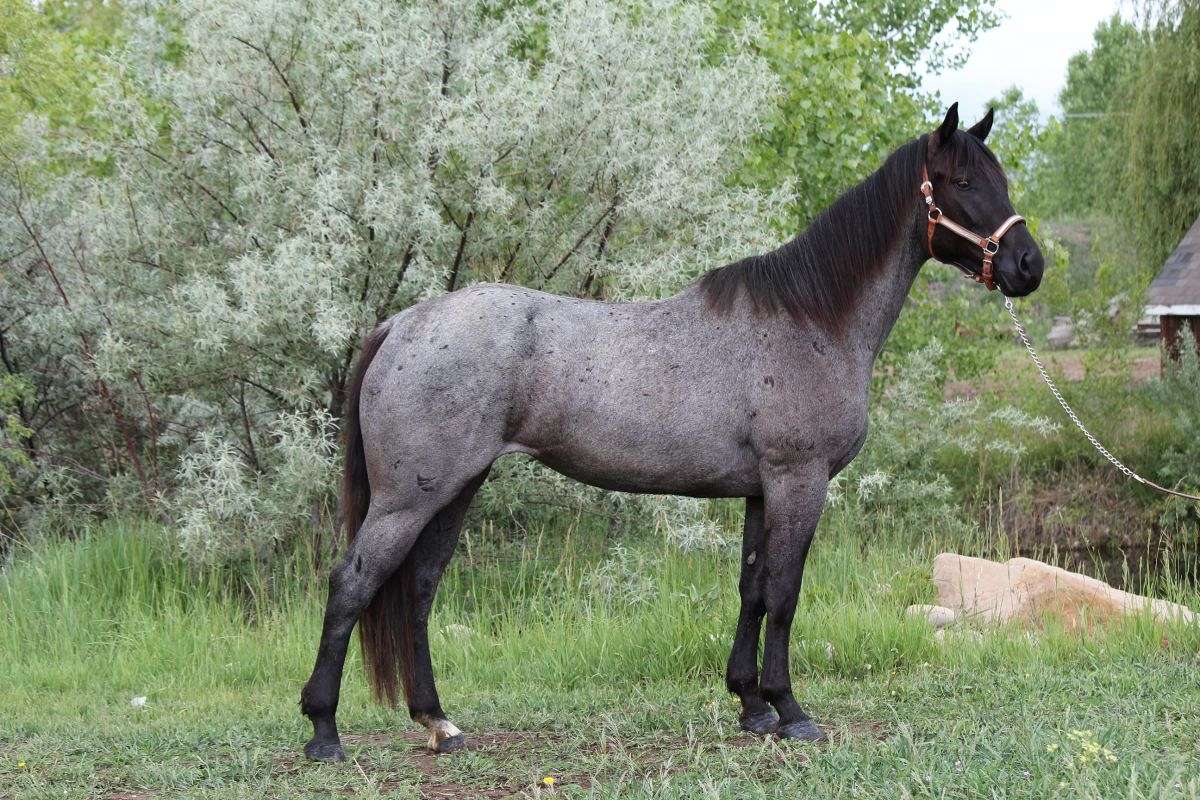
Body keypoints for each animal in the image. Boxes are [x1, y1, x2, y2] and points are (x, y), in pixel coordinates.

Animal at [299, 103, 1045, 761]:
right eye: (963, 182)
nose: (1029, 266)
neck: (811, 319)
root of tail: (404, 323)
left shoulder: (760, 491)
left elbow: (753, 590)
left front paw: (751, 706)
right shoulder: (797, 482)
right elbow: (785, 594)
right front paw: (791, 711)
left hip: (455, 488)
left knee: (419, 591)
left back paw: (438, 722)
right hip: (409, 497)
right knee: (352, 584)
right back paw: (324, 732)